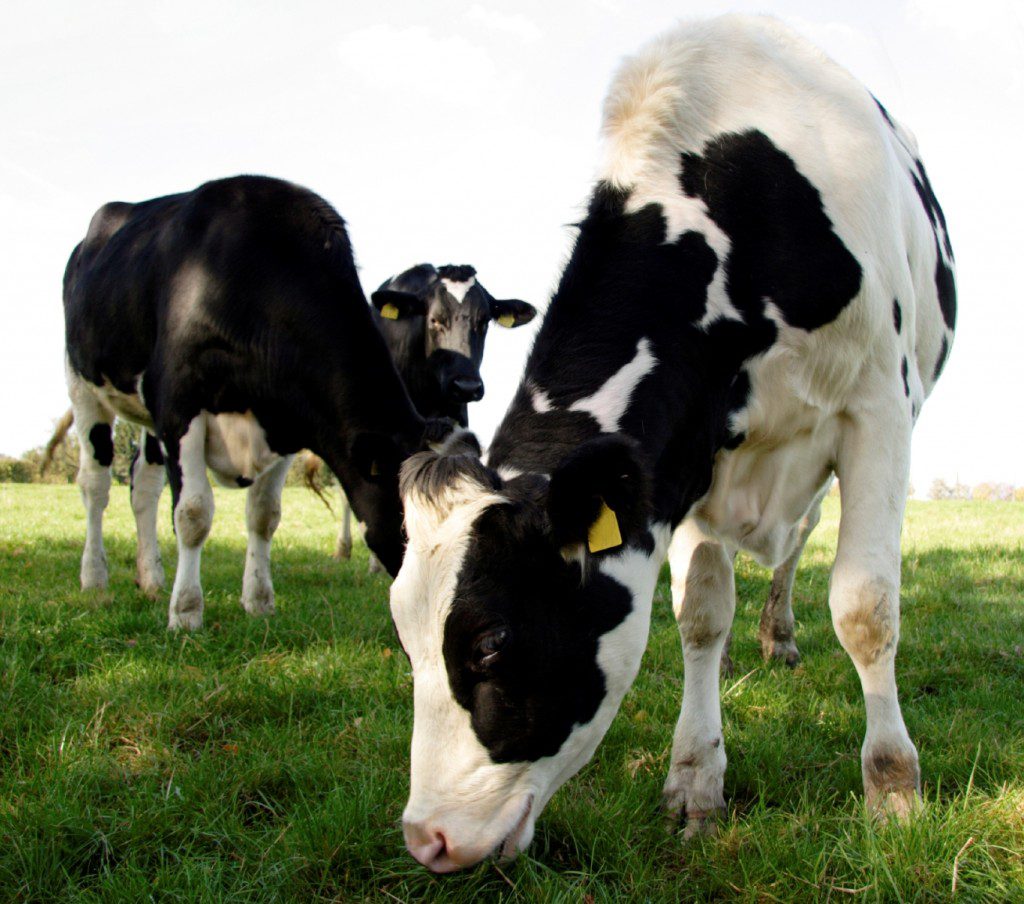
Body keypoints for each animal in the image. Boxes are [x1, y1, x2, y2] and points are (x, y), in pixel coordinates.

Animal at [63, 174, 449, 630]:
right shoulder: (177, 402)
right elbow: (193, 514)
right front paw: (186, 613)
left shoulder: (287, 421)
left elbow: (264, 516)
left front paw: (260, 600)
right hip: (82, 384)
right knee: (95, 484)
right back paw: (94, 577)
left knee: (144, 486)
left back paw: (152, 578)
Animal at [388, 15, 955, 871]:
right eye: (405, 638)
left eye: (491, 641)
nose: (428, 839)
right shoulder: (680, 458)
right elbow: (700, 615)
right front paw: (695, 783)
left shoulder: (878, 411)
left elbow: (865, 607)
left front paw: (892, 790)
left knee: (804, 542)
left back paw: (784, 638)